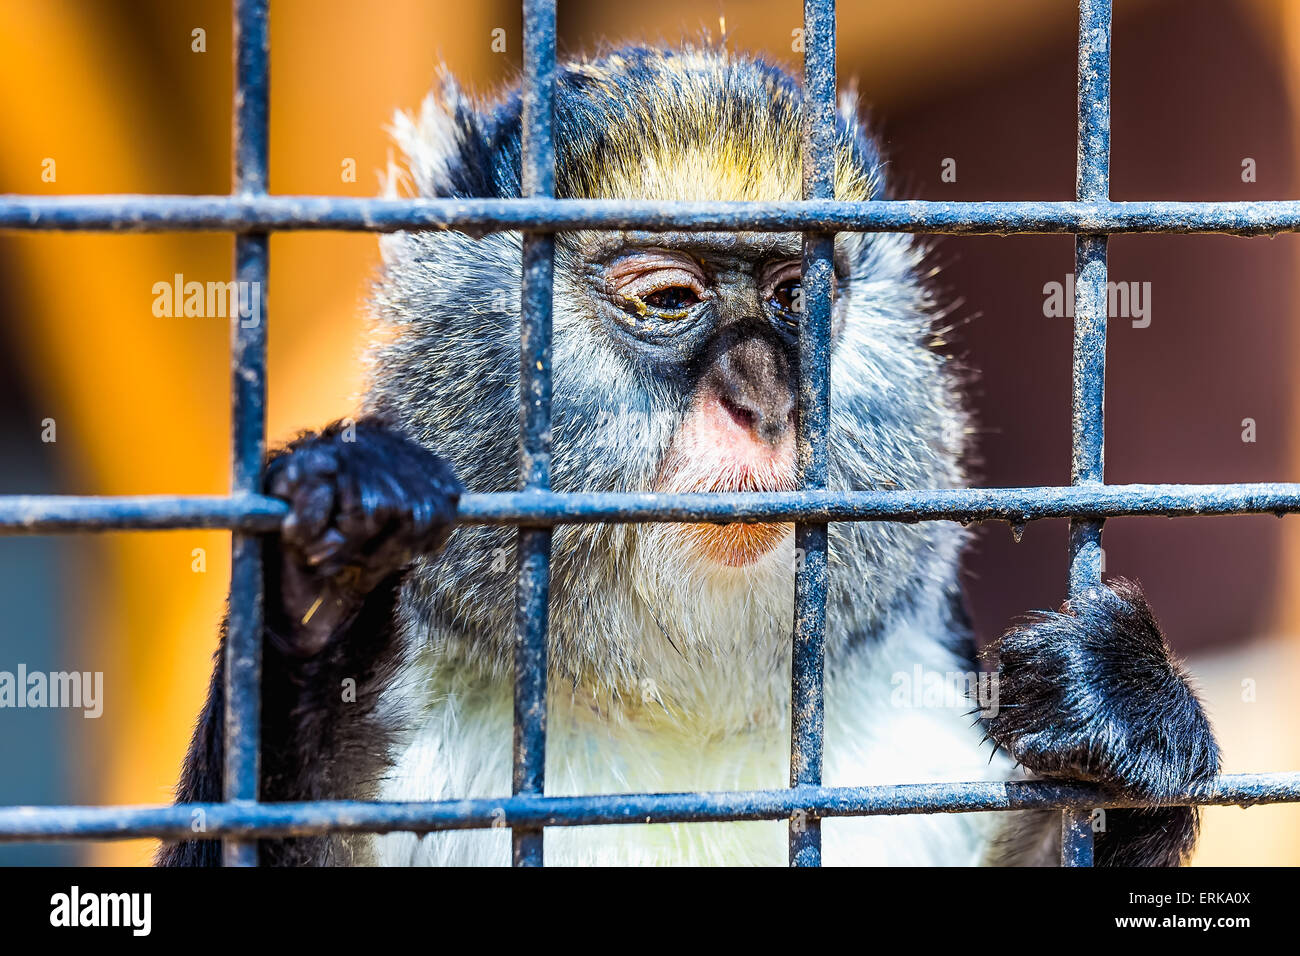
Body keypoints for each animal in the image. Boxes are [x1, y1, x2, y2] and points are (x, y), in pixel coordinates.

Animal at [157, 44, 1219, 867]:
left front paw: (1127, 709)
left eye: (796, 297)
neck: (673, 715)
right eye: (670, 298)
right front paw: (321, 572)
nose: (763, 399)